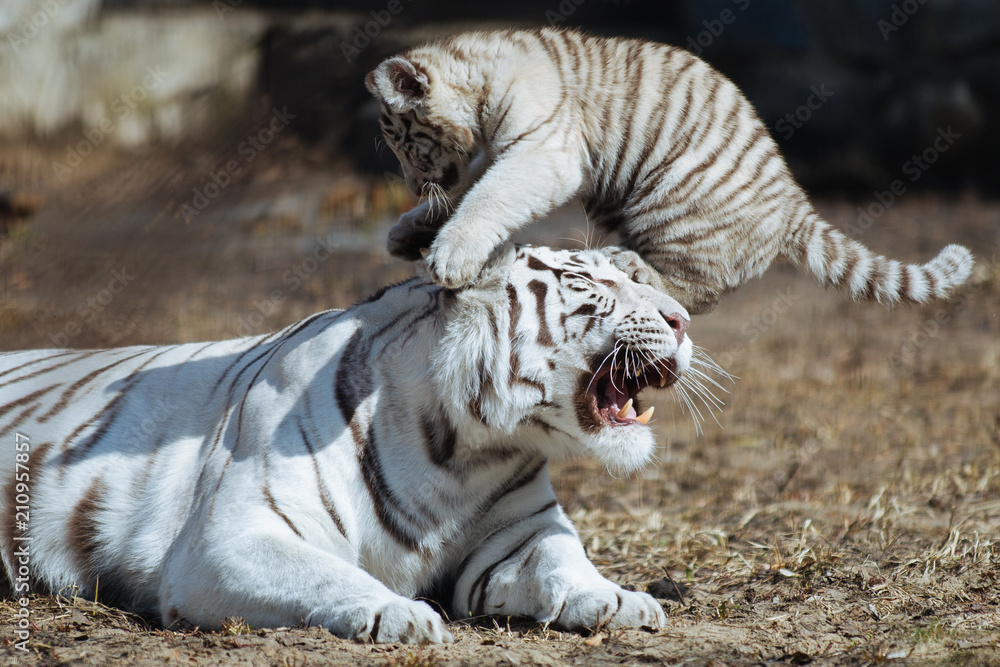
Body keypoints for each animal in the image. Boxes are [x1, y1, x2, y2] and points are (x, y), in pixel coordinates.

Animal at [0, 245, 699, 643]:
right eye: (588, 282)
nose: (682, 319)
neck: (464, 450)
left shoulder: (519, 535)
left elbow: (563, 560)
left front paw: (617, 598)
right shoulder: (231, 537)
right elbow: (324, 572)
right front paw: (401, 614)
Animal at [366, 27, 974, 314]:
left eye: (404, 144)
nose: (408, 185)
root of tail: (793, 202)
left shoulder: (543, 151)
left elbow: (488, 197)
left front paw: (450, 253)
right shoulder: (501, 153)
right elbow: (467, 191)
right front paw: (409, 232)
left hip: (671, 204)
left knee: (698, 290)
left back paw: (631, 266)